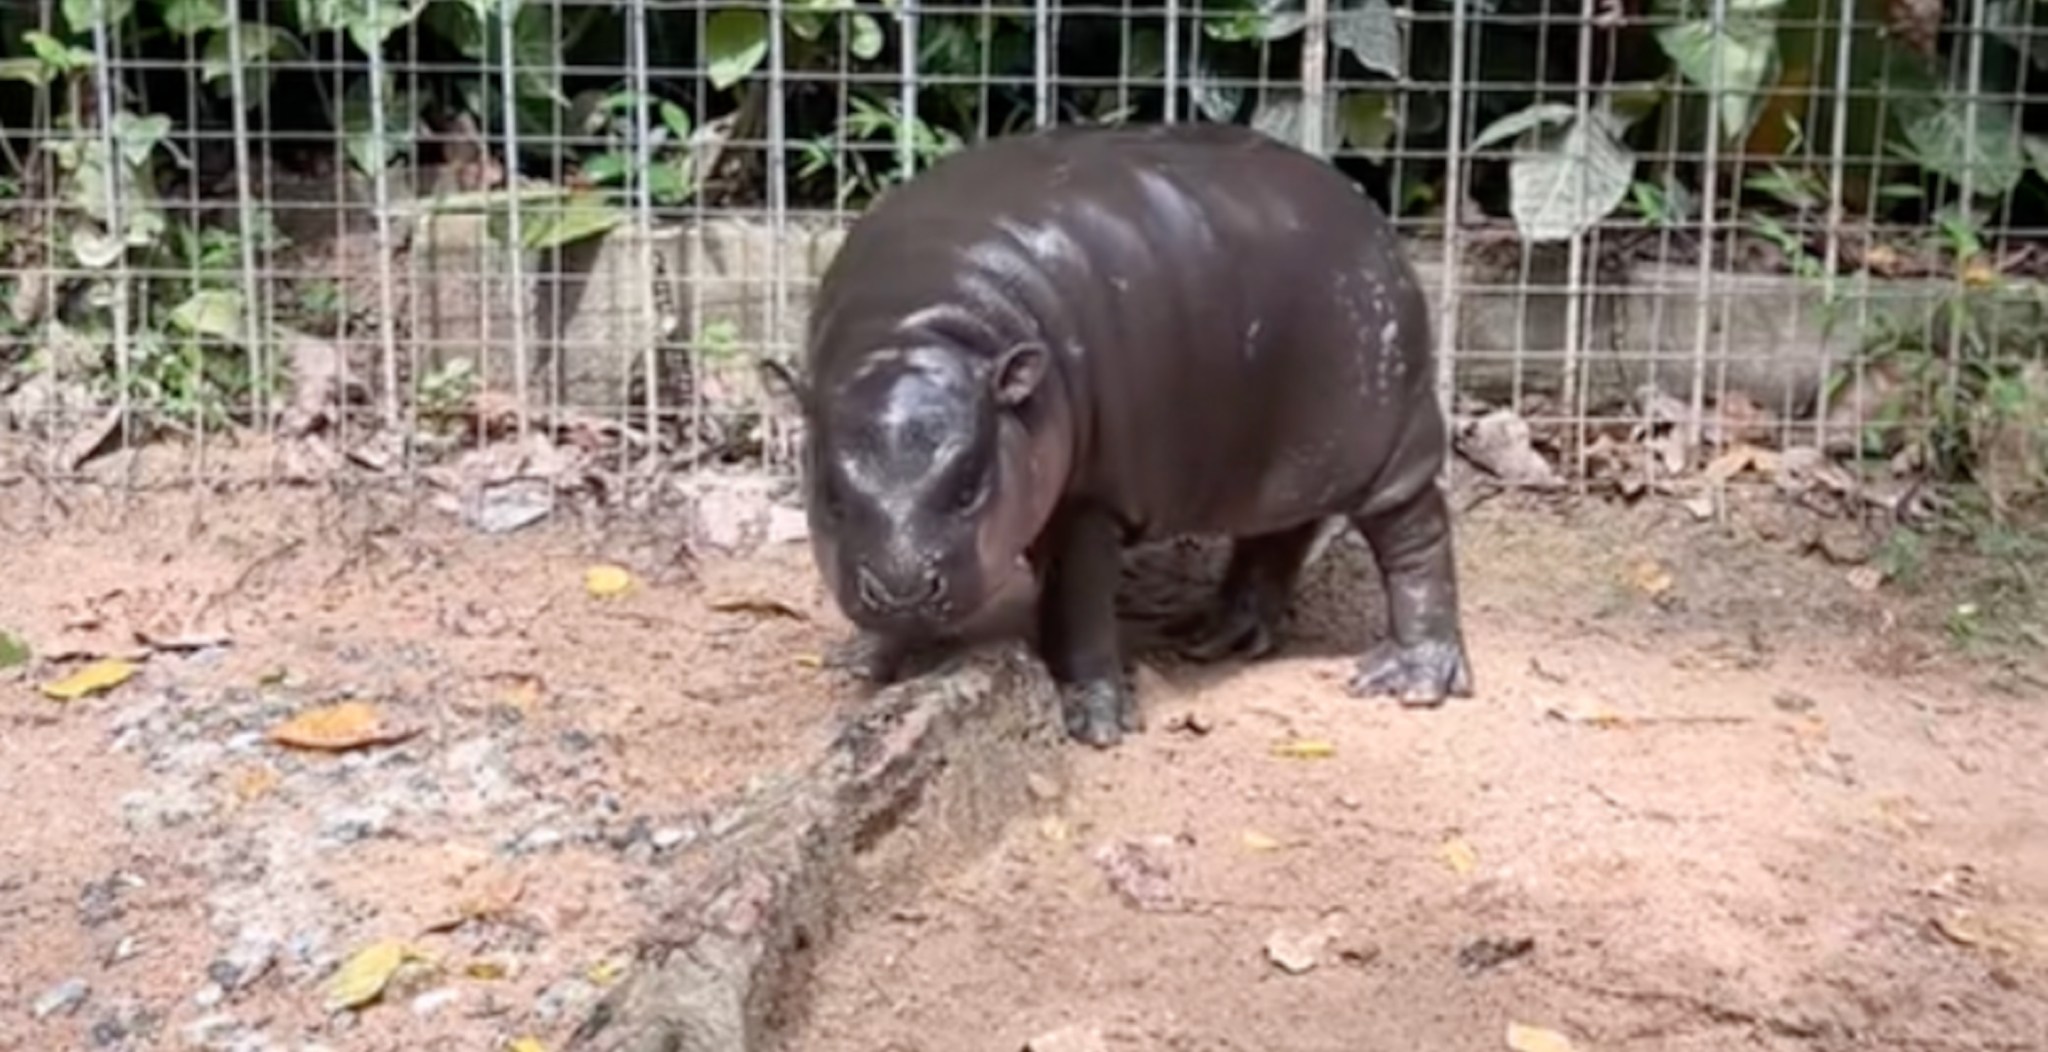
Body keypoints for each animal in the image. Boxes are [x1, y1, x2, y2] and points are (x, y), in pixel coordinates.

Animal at [760, 120, 1474, 747]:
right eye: (830, 498)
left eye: (968, 488)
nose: (904, 588)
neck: (923, 331)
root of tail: (1364, 208)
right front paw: (861, 660)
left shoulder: (1092, 496)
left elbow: (1078, 606)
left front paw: (1096, 721)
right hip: (1280, 454)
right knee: (1278, 533)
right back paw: (1216, 635)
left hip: (1393, 441)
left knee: (1417, 537)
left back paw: (1412, 677)